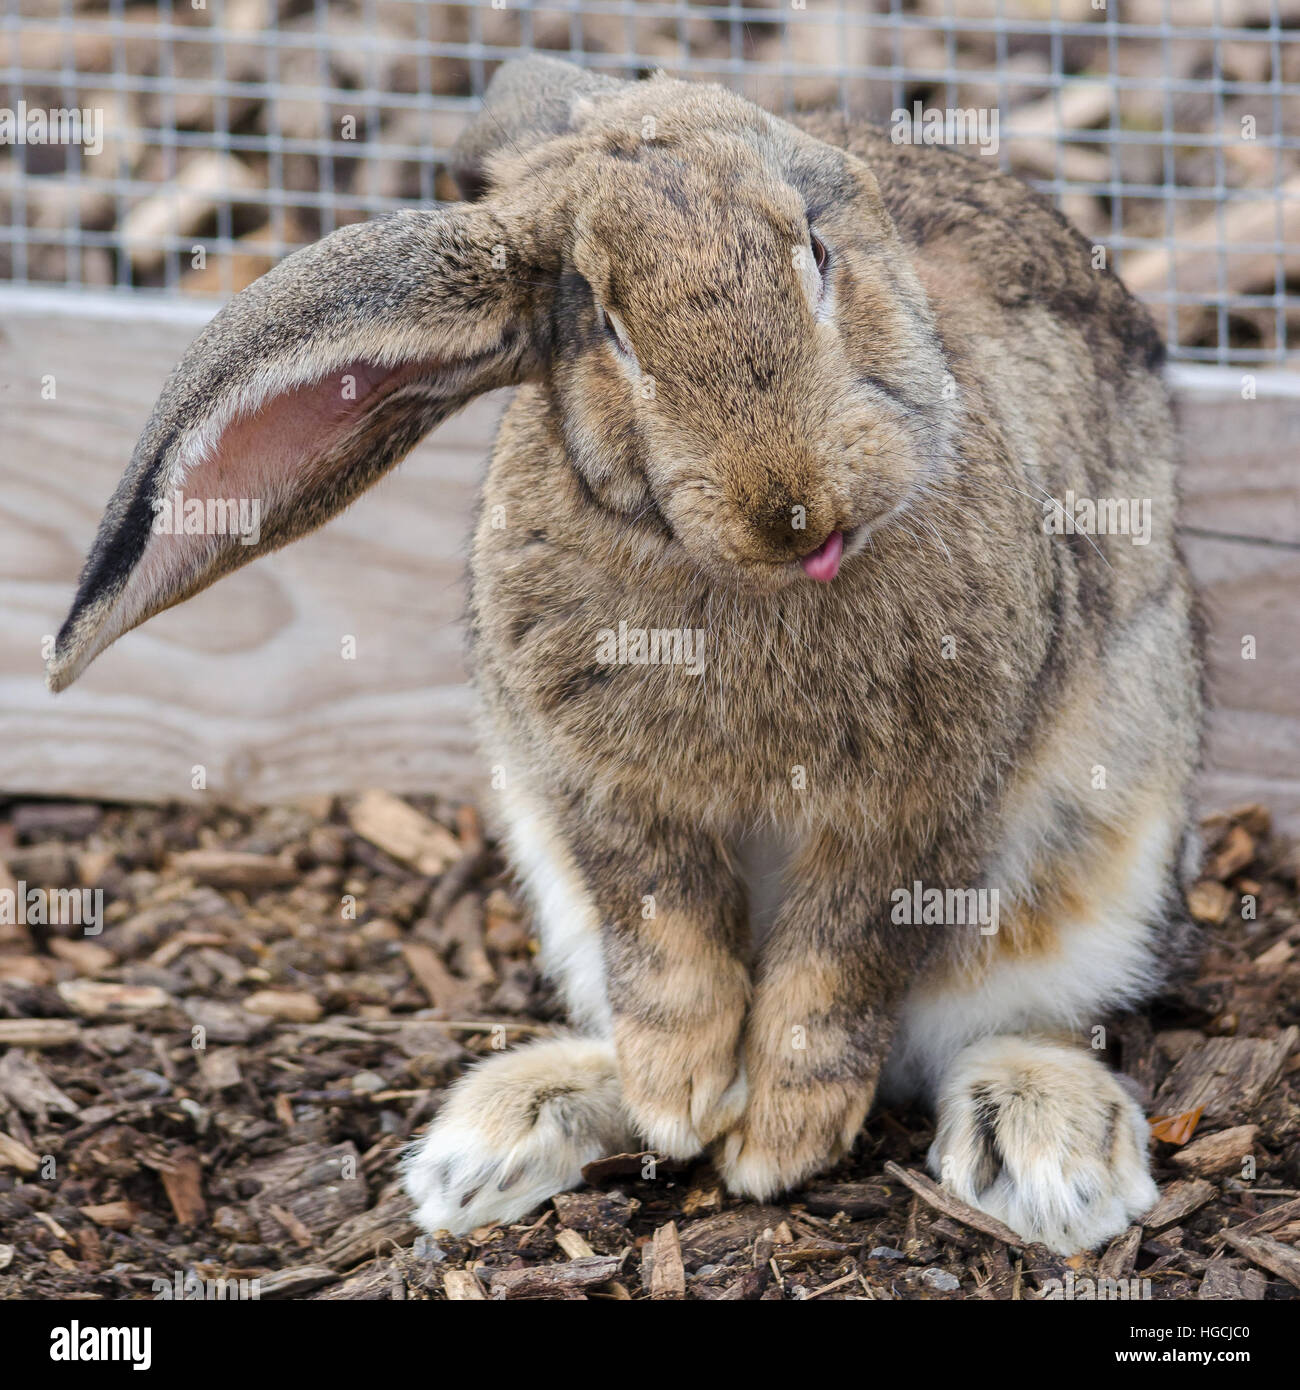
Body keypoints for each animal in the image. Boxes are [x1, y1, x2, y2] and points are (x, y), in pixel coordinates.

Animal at [48, 56, 1203, 1255]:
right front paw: (682, 1100)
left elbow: (839, 967)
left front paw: (775, 1145)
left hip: (1109, 834)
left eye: (816, 254)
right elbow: (668, 947)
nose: (792, 507)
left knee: (1023, 1015)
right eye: (607, 324)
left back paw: (1044, 1154)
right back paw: (497, 1144)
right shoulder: (602, 802)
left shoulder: (918, 813)